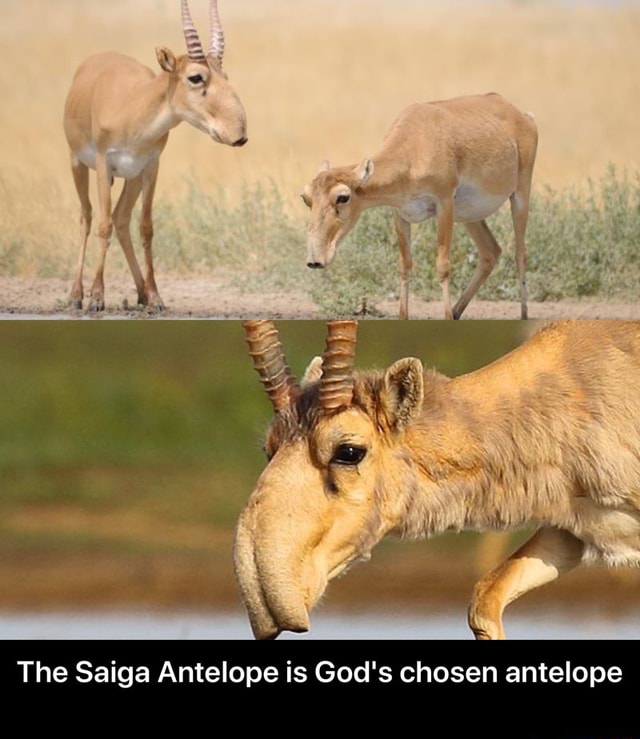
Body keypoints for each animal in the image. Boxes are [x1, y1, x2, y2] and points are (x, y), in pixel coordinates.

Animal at [63, 0, 247, 312]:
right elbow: (102, 225)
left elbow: (146, 227)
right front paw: (97, 297)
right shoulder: (103, 163)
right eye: (195, 77)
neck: (132, 106)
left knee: (122, 219)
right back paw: (76, 295)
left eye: (225, 77)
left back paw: (141, 293)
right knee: (87, 217)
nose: (239, 134)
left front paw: (156, 297)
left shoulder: (151, 166)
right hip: (78, 164)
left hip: (132, 178)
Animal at [302, 93, 538, 320]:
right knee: (491, 251)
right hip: (469, 216)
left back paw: (523, 315)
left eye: (343, 197)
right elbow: (405, 266)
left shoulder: (444, 204)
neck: (415, 144)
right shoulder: (400, 213)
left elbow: (442, 266)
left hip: (520, 196)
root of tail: (524, 116)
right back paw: (456, 312)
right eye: (306, 197)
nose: (315, 260)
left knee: (521, 256)